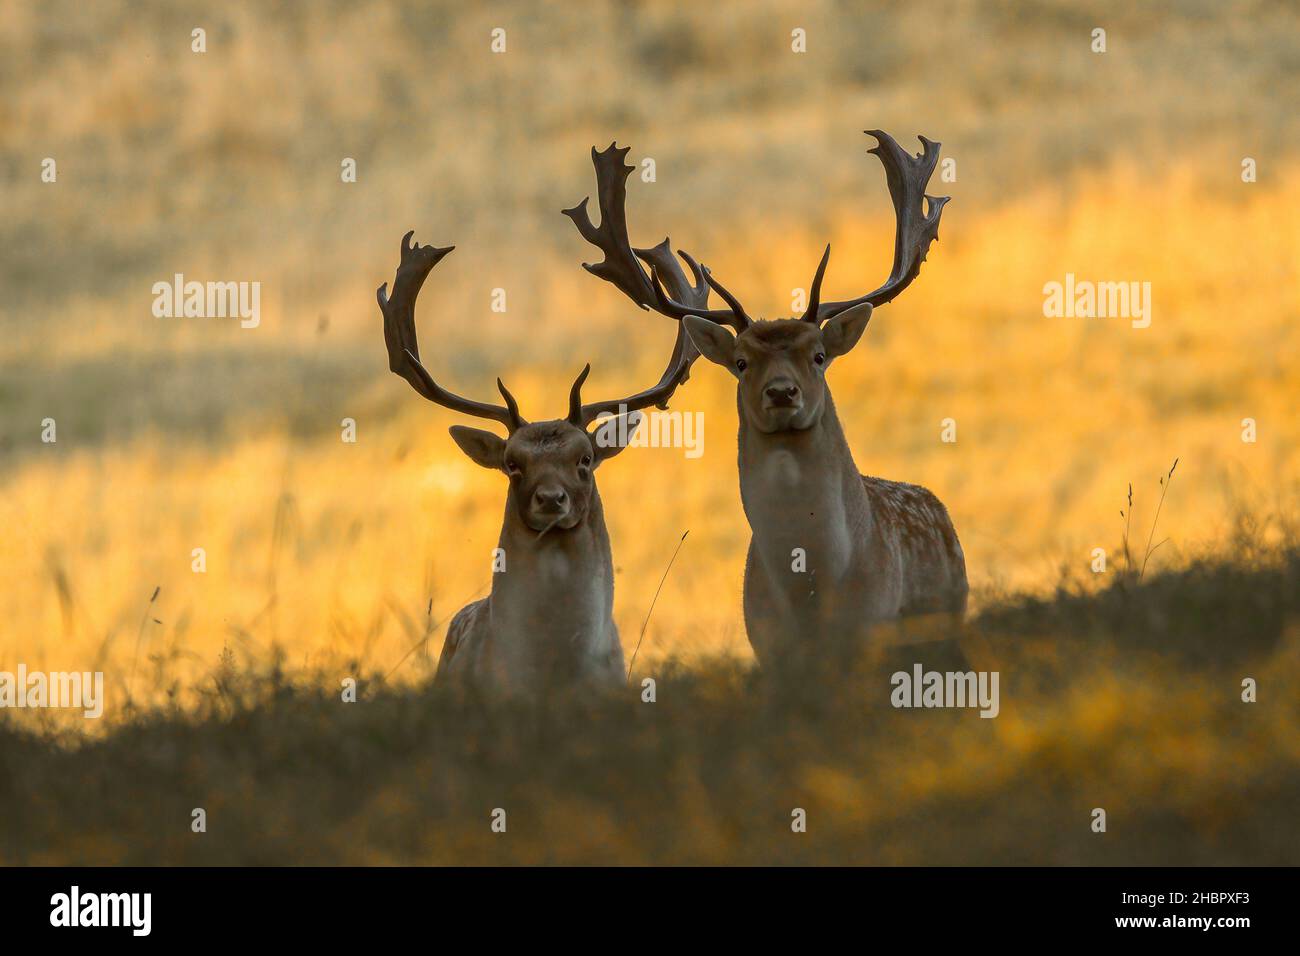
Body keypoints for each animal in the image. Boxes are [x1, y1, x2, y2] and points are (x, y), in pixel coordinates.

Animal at [564, 132, 968, 670]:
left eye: (819, 355)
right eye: (740, 362)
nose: (781, 391)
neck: (811, 592)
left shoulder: (875, 636)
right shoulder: (767, 648)